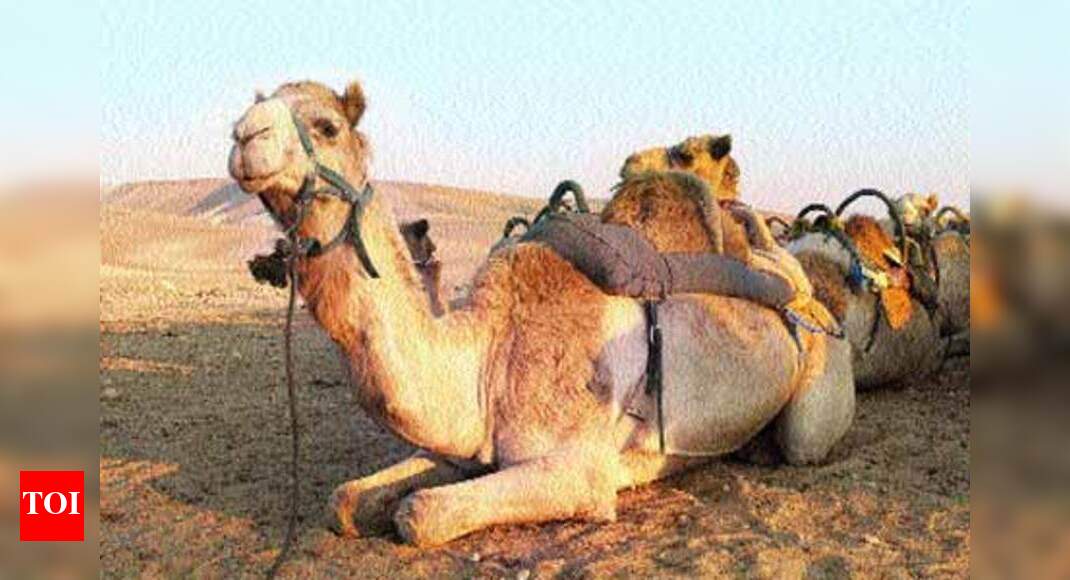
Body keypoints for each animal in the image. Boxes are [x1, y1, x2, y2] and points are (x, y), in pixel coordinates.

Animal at [228, 79, 854, 546]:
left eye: (327, 126)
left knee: (804, 442)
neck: (489, 355)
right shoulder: (466, 446)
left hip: (822, 369)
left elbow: (419, 512)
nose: (243, 133)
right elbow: (344, 501)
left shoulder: (578, 472)